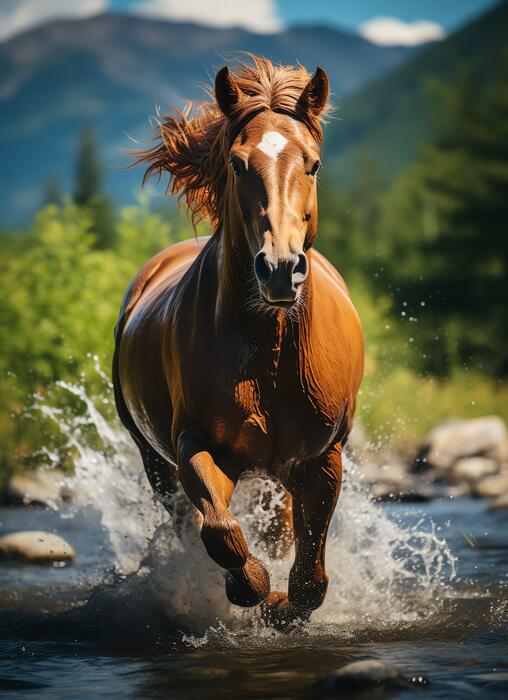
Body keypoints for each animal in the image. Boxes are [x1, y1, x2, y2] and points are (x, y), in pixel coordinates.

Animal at [113, 56, 364, 627]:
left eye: (313, 164)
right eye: (236, 163)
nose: (280, 268)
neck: (270, 352)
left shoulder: (321, 459)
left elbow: (310, 571)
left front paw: (283, 606)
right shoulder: (195, 446)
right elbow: (221, 531)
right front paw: (252, 588)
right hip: (154, 462)